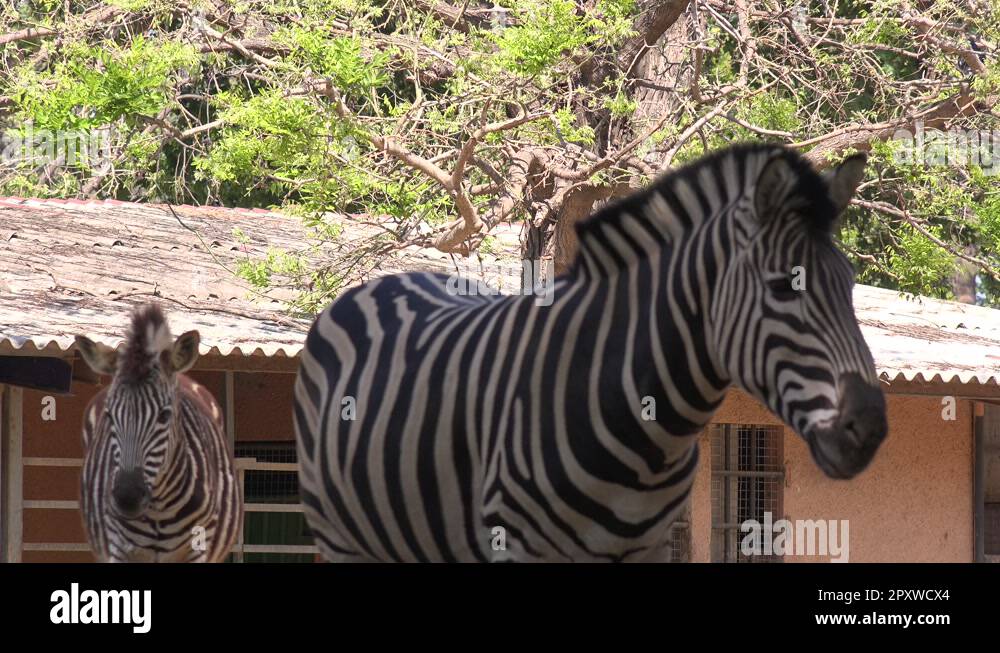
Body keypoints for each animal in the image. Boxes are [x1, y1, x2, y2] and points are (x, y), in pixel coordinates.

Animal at [75, 304, 242, 562]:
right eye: (109, 416)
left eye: (164, 416)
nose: (127, 499)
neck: (159, 510)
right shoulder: (118, 549)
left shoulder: (198, 549)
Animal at [292, 143, 888, 562]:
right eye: (783, 288)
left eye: (850, 285)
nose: (870, 427)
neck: (649, 433)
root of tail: (382, 282)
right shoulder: (519, 546)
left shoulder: (649, 547)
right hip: (339, 533)